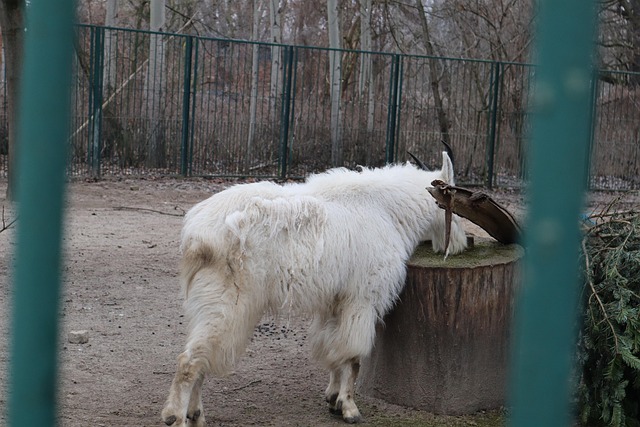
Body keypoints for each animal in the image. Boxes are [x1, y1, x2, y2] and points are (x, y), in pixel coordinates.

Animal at [161, 151, 468, 426]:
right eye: (453, 206)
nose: (461, 245)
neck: (387, 212)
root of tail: (195, 235)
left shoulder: (335, 301)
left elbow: (333, 350)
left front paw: (333, 399)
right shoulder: (362, 299)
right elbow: (353, 356)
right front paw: (350, 408)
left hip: (209, 303)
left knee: (201, 356)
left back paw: (196, 414)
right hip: (227, 304)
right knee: (190, 360)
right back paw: (175, 416)